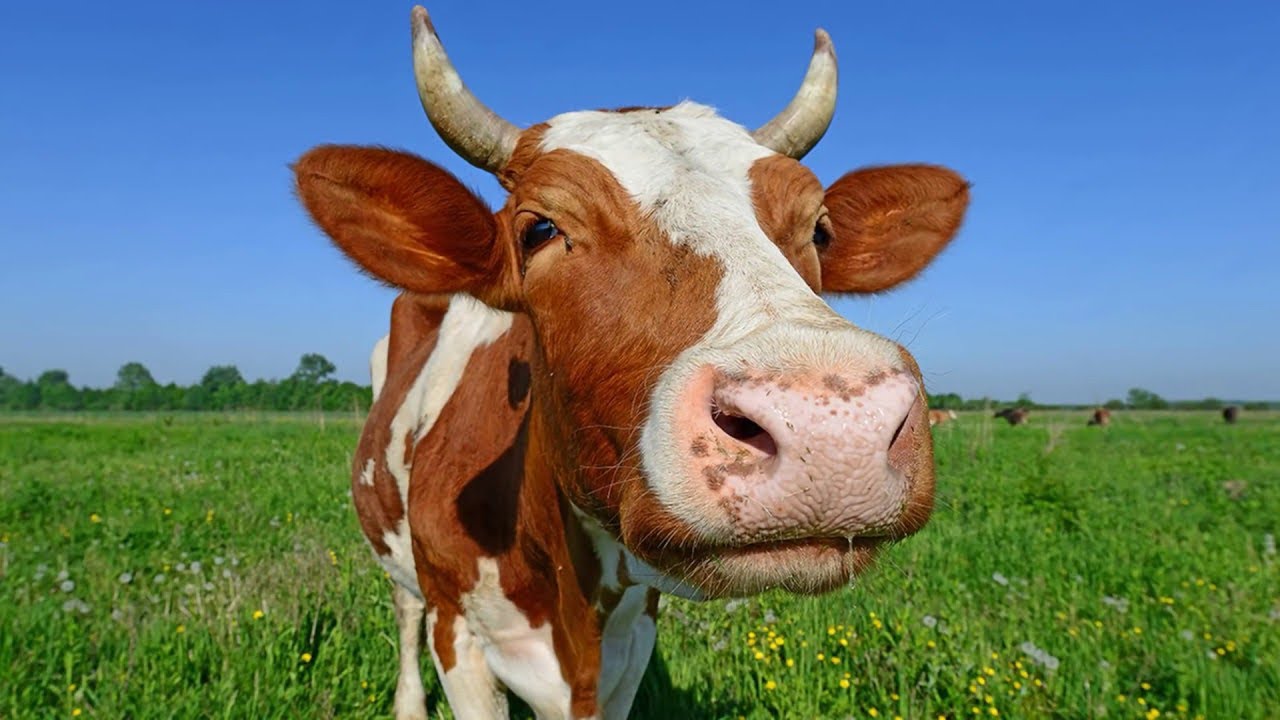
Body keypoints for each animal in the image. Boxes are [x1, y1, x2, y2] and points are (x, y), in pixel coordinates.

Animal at [294, 7, 969, 719]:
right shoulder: (460, 634)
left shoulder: (633, 639)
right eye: (539, 229)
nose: (831, 421)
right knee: (405, 611)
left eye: (819, 229)